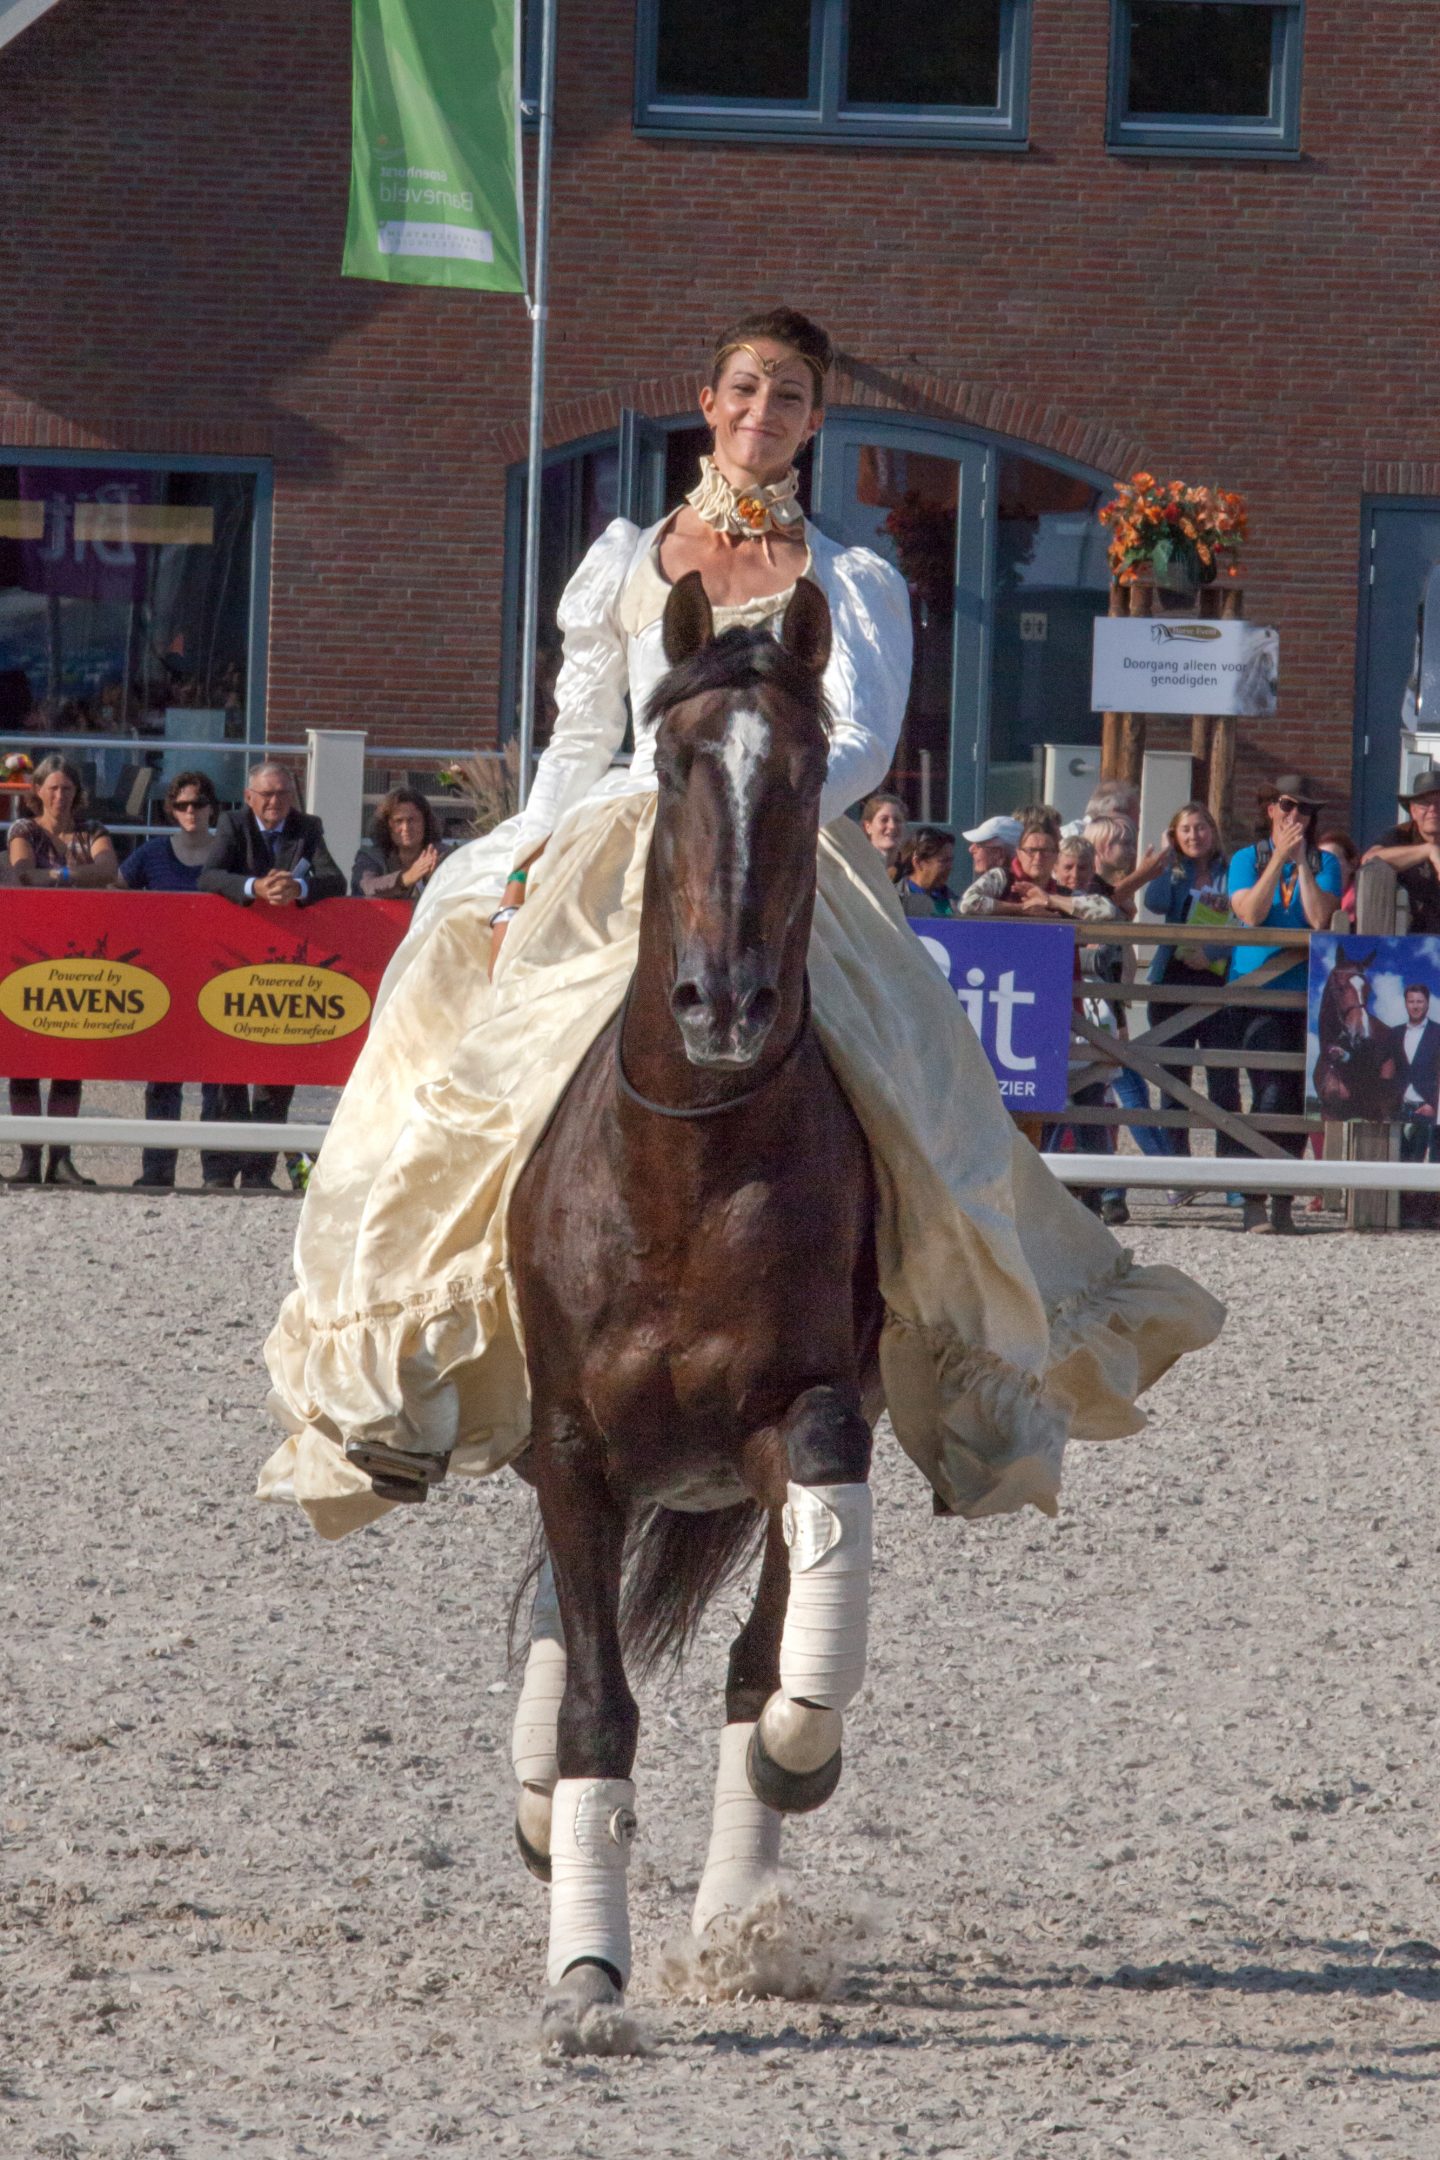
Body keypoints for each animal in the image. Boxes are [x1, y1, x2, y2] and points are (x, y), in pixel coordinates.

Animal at [505, 570, 884, 2050]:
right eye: (670, 765)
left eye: (804, 771)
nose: (724, 1002)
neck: (690, 1166)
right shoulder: (569, 1448)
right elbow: (596, 1708)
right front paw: (585, 1977)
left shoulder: (809, 1413)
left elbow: (776, 1667)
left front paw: (792, 1761)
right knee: (565, 1626)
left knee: (760, 1647)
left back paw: (739, 1908)